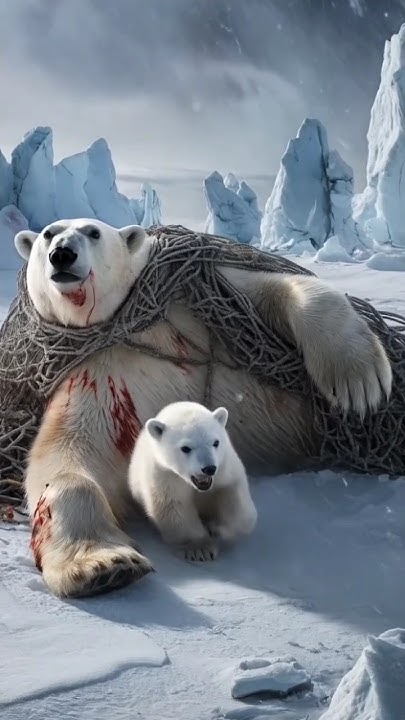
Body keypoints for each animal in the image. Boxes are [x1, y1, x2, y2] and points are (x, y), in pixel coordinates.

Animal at [128, 401, 257, 562]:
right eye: (186, 448)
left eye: (216, 442)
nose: (209, 468)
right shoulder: (166, 475)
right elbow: (175, 508)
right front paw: (199, 549)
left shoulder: (225, 468)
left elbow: (236, 498)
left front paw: (218, 528)